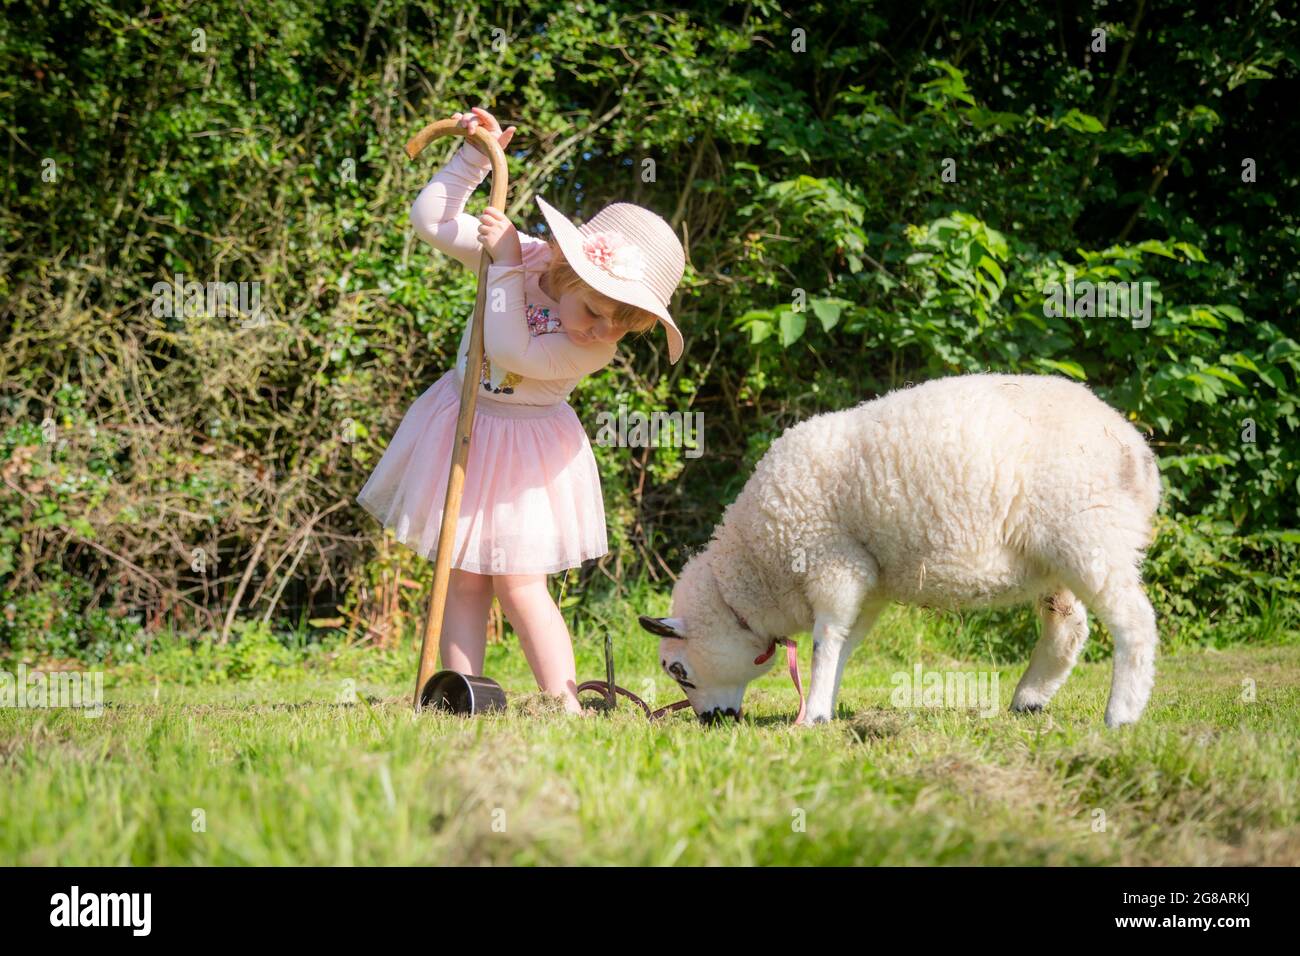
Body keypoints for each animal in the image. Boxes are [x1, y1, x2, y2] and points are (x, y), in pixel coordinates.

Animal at [639, 373, 1162, 728]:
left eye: (679, 670)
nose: (713, 722)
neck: (756, 570)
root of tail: (1136, 450)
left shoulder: (831, 564)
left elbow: (823, 642)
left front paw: (813, 715)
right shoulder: (864, 581)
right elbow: (845, 643)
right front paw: (826, 707)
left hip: (1091, 534)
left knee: (1135, 623)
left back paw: (1122, 714)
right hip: (1059, 555)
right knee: (1068, 627)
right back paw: (1029, 701)